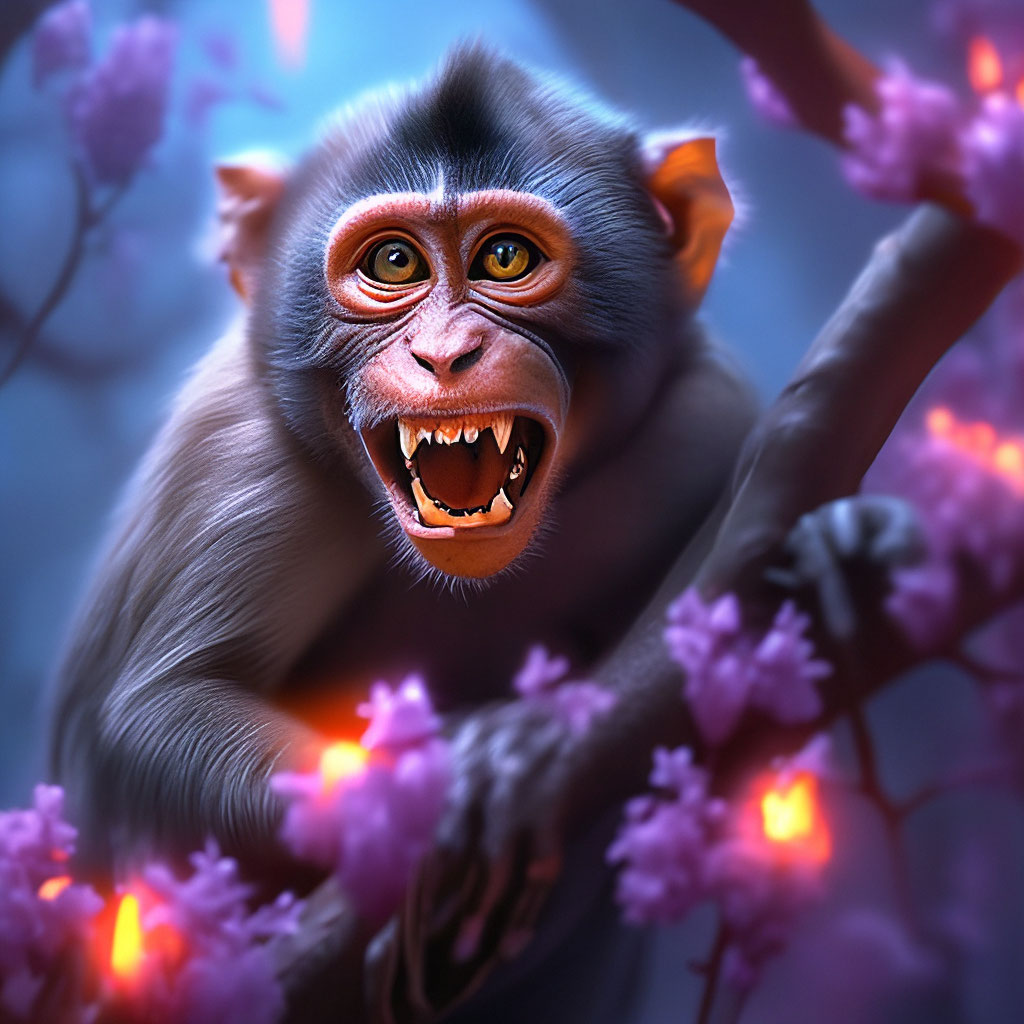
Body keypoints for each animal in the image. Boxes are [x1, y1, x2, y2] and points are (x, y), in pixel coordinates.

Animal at [48, 45, 759, 1020]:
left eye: (505, 256)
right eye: (393, 261)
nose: (445, 354)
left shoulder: (711, 416)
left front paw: (518, 753)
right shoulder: (242, 460)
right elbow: (146, 721)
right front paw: (435, 784)